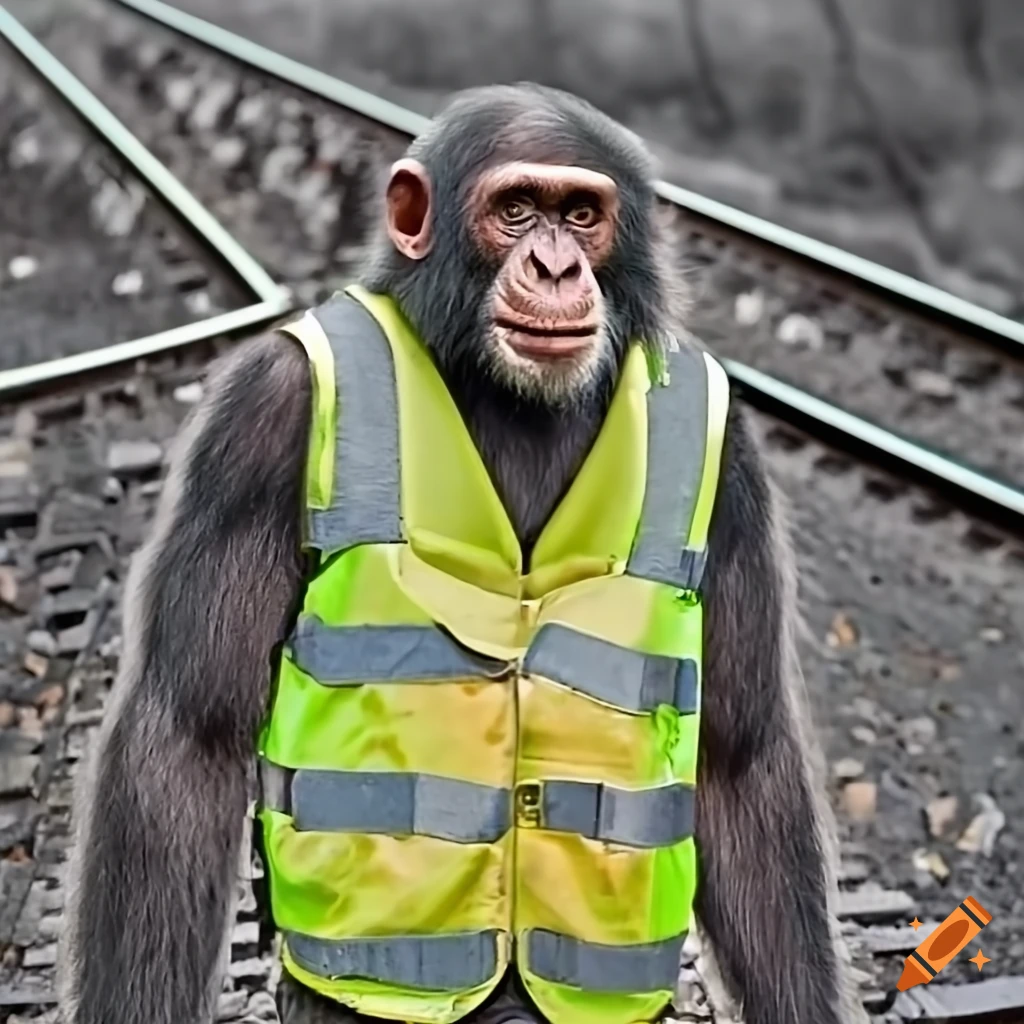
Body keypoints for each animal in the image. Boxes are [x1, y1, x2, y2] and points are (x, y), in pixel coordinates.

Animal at [58, 83, 866, 1024]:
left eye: (582, 214)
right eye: (515, 211)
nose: (554, 267)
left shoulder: (731, 461)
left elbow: (742, 753)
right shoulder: (258, 421)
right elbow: (186, 732)